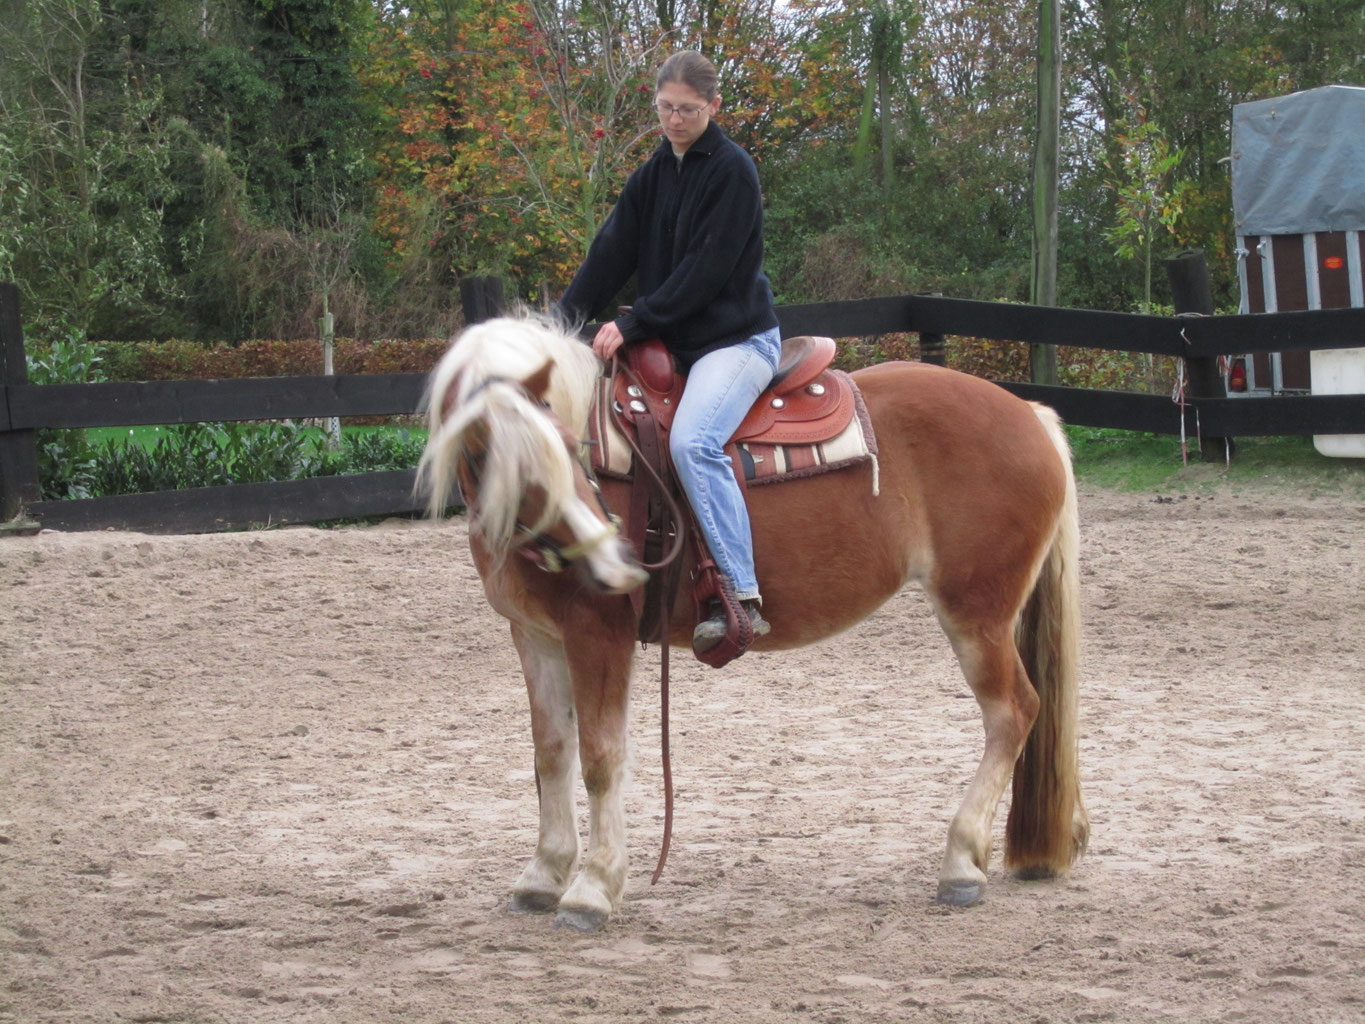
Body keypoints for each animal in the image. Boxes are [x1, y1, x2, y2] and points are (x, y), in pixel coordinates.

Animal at [418, 313, 1087, 931]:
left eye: (568, 445)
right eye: (495, 457)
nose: (615, 564)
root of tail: (1029, 413)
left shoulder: (598, 634)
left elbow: (601, 758)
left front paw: (593, 888)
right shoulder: (535, 636)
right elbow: (550, 752)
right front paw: (543, 874)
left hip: (977, 613)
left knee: (1013, 711)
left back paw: (960, 862)